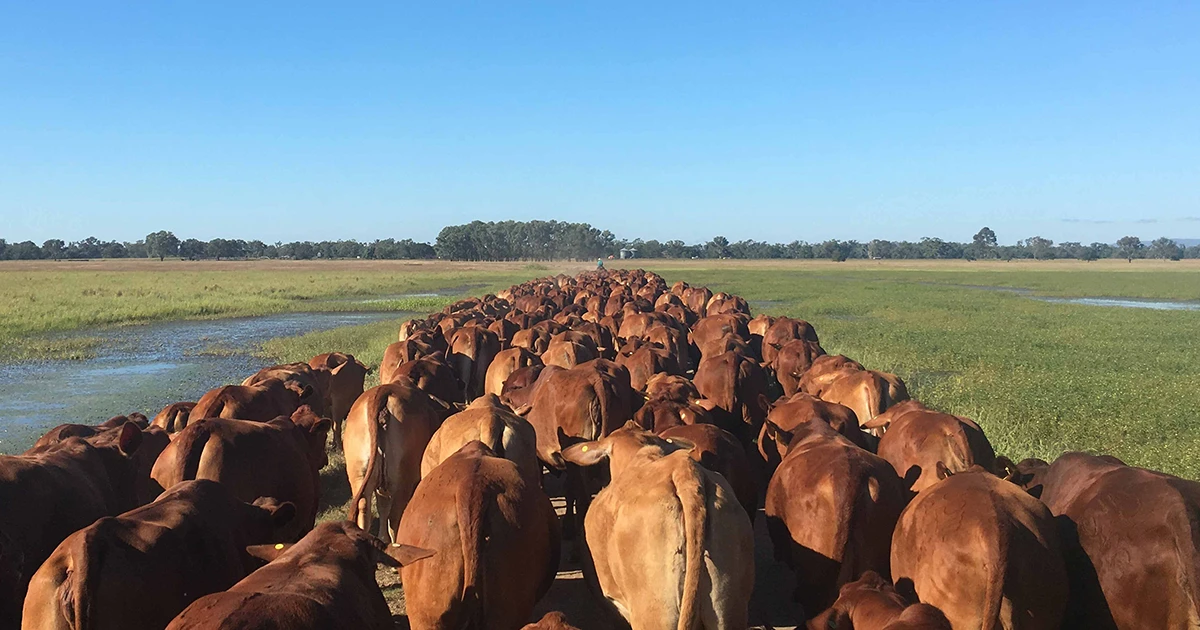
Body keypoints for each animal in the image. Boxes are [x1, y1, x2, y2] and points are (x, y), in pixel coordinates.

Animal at [344, 382, 445, 543]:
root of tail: (382, 392)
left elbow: (382, 507)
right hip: (402, 478)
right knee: (395, 517)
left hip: (359, 473)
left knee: (364, 509)